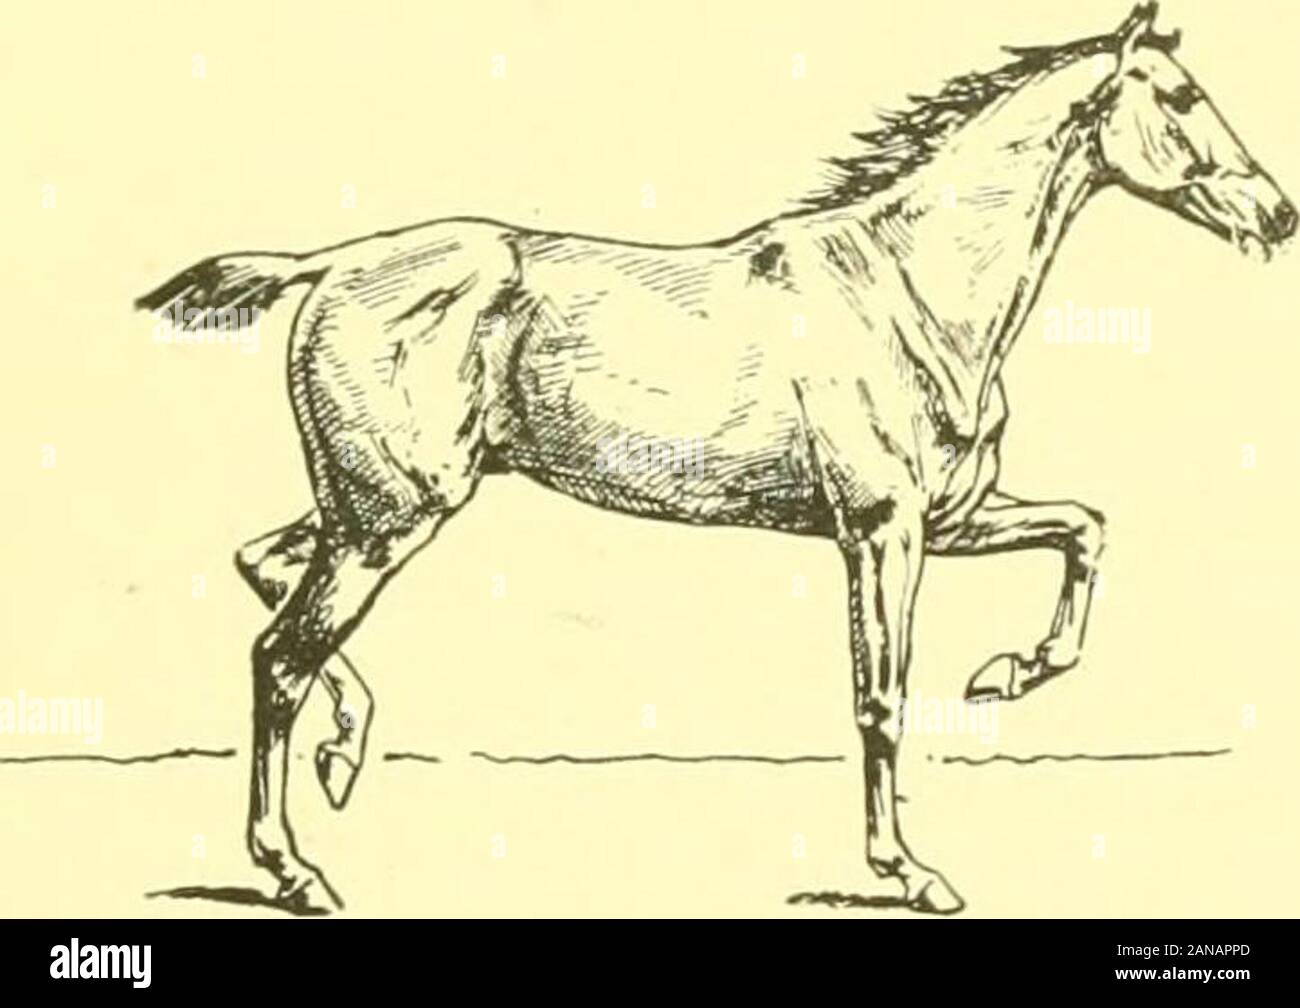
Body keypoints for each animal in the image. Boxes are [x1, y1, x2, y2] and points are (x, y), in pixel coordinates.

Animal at [137, 3, 1292, 914]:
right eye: (1182, 97)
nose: (1277, 212)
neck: (911, 292)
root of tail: (326, 264)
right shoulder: (882, 531)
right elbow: (881, 697)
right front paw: (910, 873)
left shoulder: (954, 520)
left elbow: (1085, 529)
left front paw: (1007, 674)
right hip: (389, 518)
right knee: (278, 657)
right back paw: (294, 870)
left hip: (371, 506)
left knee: (263, 569)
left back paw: (347, 749)